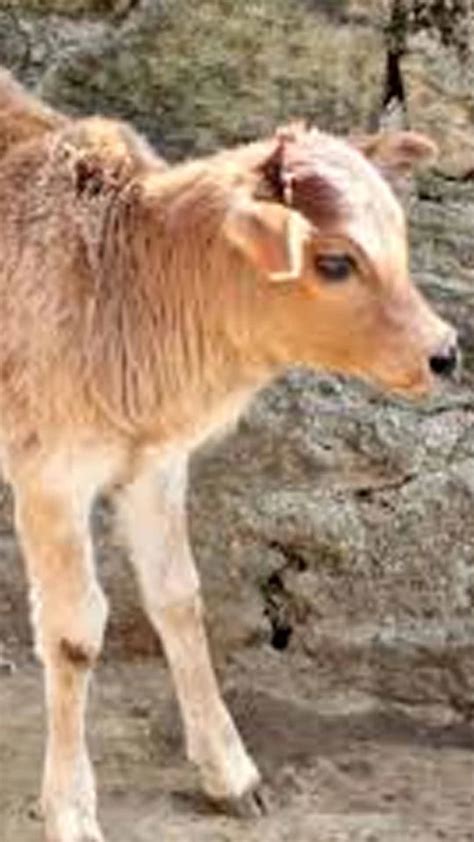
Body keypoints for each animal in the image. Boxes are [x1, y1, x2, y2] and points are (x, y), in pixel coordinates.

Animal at [0, 69, 458, 841]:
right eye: (335, 261)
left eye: (401, 236)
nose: (445, 351)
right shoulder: (50, 475)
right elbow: (74, 634)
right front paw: (69, 808)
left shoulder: (155, 466)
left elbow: (180, 598)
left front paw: (230, 772)